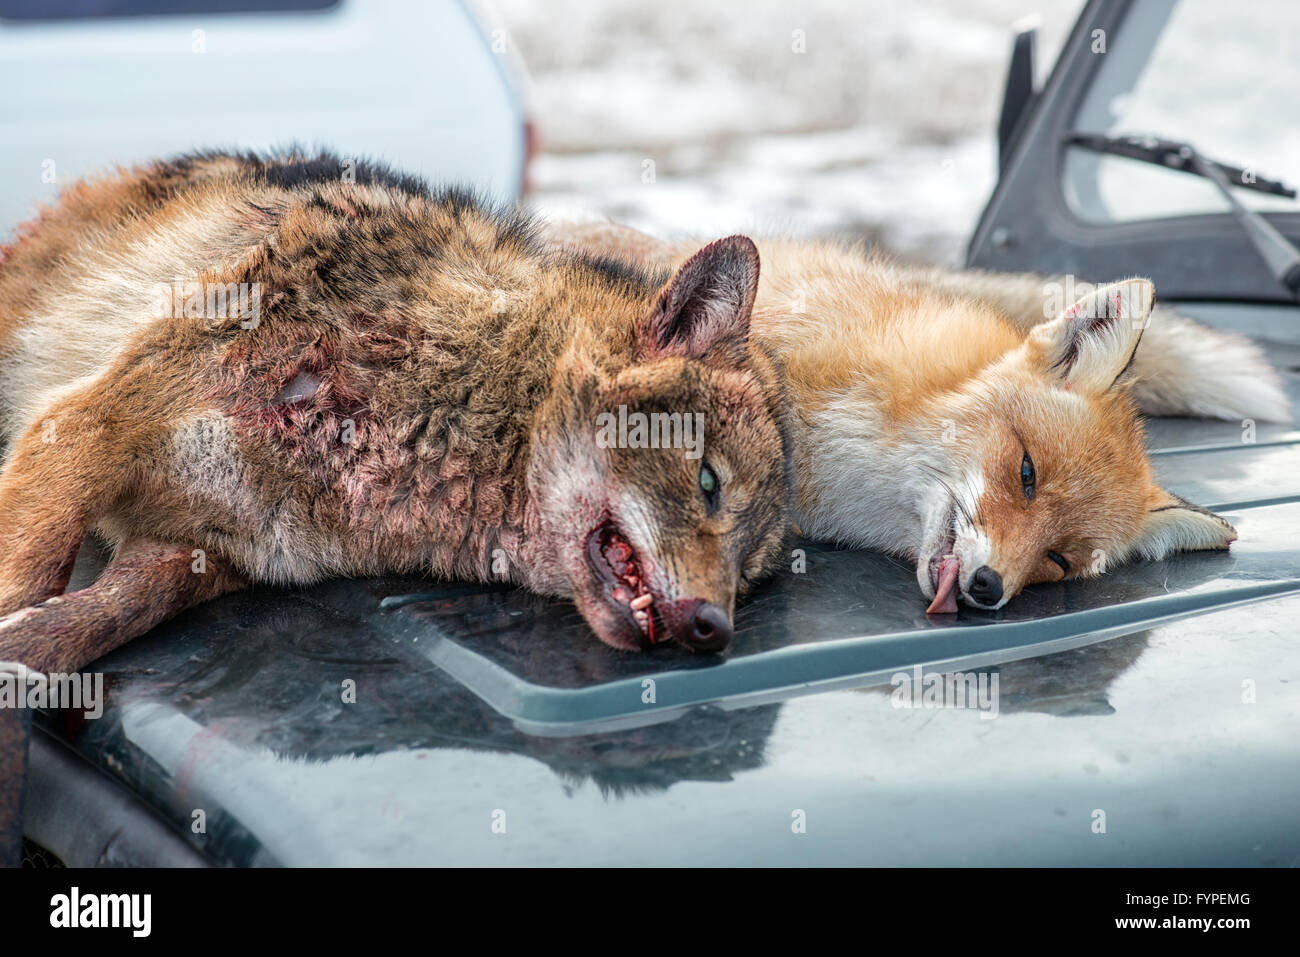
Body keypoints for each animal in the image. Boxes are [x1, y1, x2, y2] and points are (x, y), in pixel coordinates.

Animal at [0, 151, 793, 674]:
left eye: (749, 571)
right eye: (709, 483)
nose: (714, 630)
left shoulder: (194, 551)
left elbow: (92, 618)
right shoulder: (84, 424)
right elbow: (33, 568)